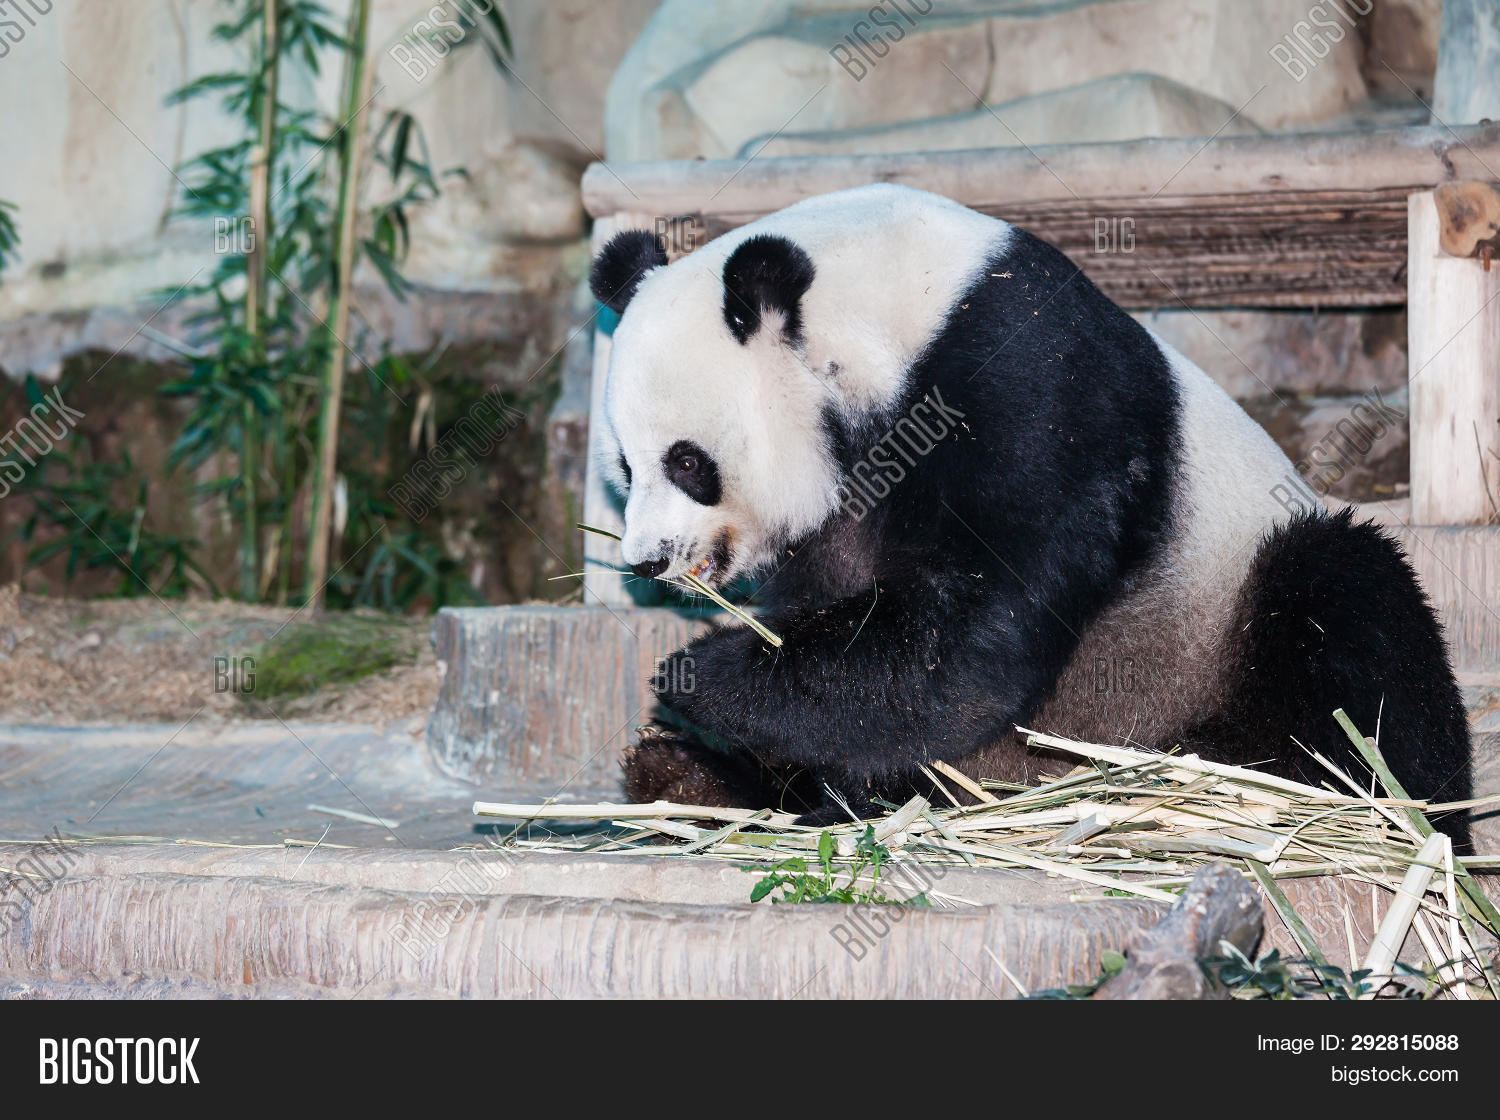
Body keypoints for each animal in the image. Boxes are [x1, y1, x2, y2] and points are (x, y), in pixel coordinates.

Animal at [589, 183, 1473, 850]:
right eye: (626, 466)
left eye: (688, 462)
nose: (646, 560)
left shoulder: (1026, 380)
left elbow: (976, 638)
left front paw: (699, 672)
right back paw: (682, 776)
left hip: (1222, 612)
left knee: (1349, 607)